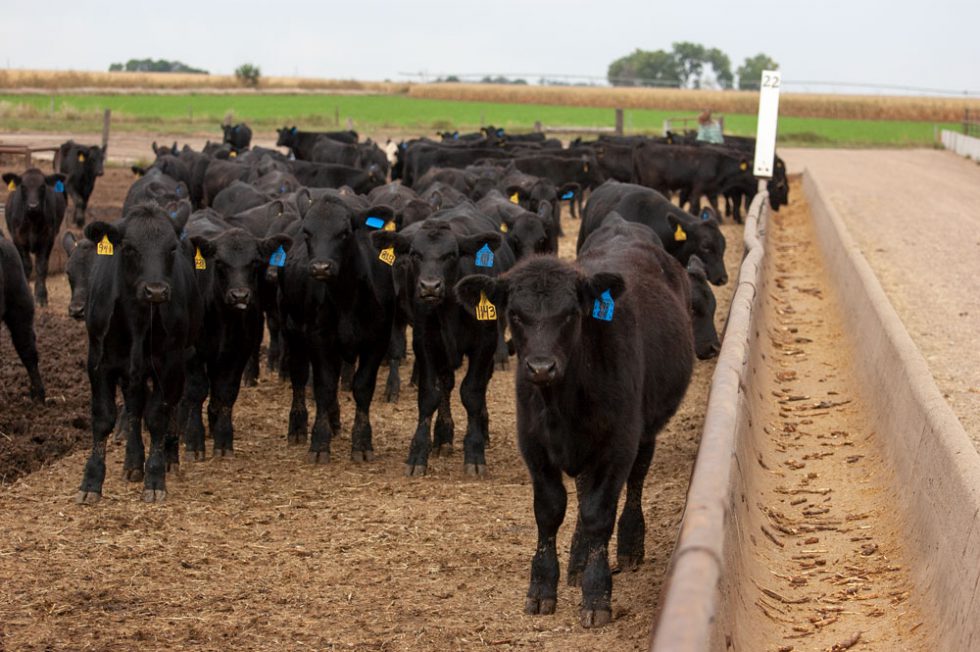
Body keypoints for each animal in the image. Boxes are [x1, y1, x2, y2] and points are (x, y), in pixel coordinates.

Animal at [2, 169, 67, 306]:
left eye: (42, 187)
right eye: (23, 186)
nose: (33, 206)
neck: (32, 220)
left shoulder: (47, 239)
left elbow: (41, 266)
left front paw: (41, 296)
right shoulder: (18, 239)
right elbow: (26, 265)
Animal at [75, 204, 202, 504]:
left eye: (171, 248)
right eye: (129, 247)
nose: (156, 290)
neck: (138, 318)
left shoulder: (169, 364)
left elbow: (157, 417)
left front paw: (154, 478)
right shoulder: (99, 362)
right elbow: (104, 418)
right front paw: (91, 481)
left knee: (171, 406)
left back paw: (169, 457)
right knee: (134, 407)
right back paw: (133, 463)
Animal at [371, 207, 515, 476]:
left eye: (451, 254)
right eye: (415, 254)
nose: (430, 287)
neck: (450, 308)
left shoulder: (485, 343)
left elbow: (472, 392)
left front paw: (475, 451)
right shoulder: (425, 342)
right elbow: (430, 394)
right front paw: (418, 453)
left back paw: (482, 428)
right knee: (446, 384)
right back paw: (443, 436)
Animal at [453, 229, 693, 628]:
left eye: (569, 314)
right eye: (515, 314)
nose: (540, 367)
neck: (562, 404)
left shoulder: (618, 444)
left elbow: (599, 514)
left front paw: (596, 595)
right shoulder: (533, 445)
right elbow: (551, 511)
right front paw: (541, 589)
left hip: (645, 429)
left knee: (636, 481)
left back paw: (629, 546)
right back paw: (578, 563)